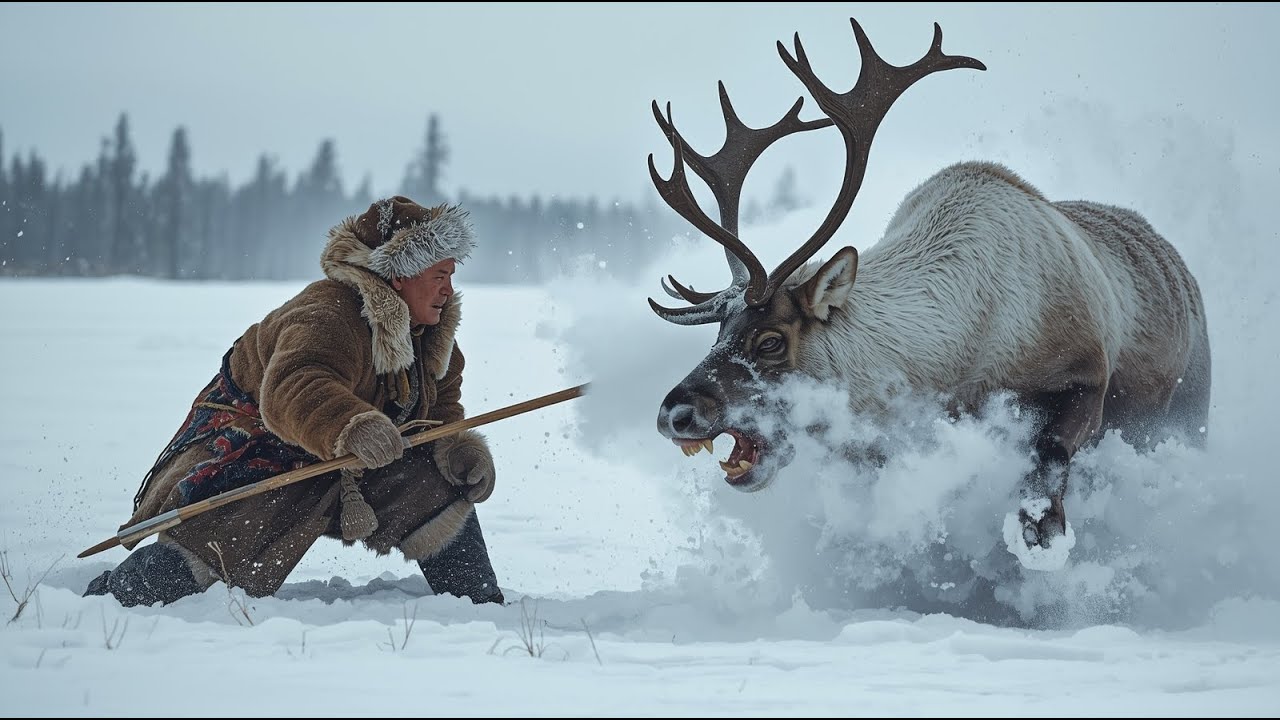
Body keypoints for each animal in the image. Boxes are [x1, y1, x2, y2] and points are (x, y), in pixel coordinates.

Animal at [647, 18, 1211, 553]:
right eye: (717, 333)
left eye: (770, 341)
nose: (674, 413)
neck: (953, 358)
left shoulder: (1085, 373)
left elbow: (1048, 450)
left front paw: (1040, 535)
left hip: (1189, 416)